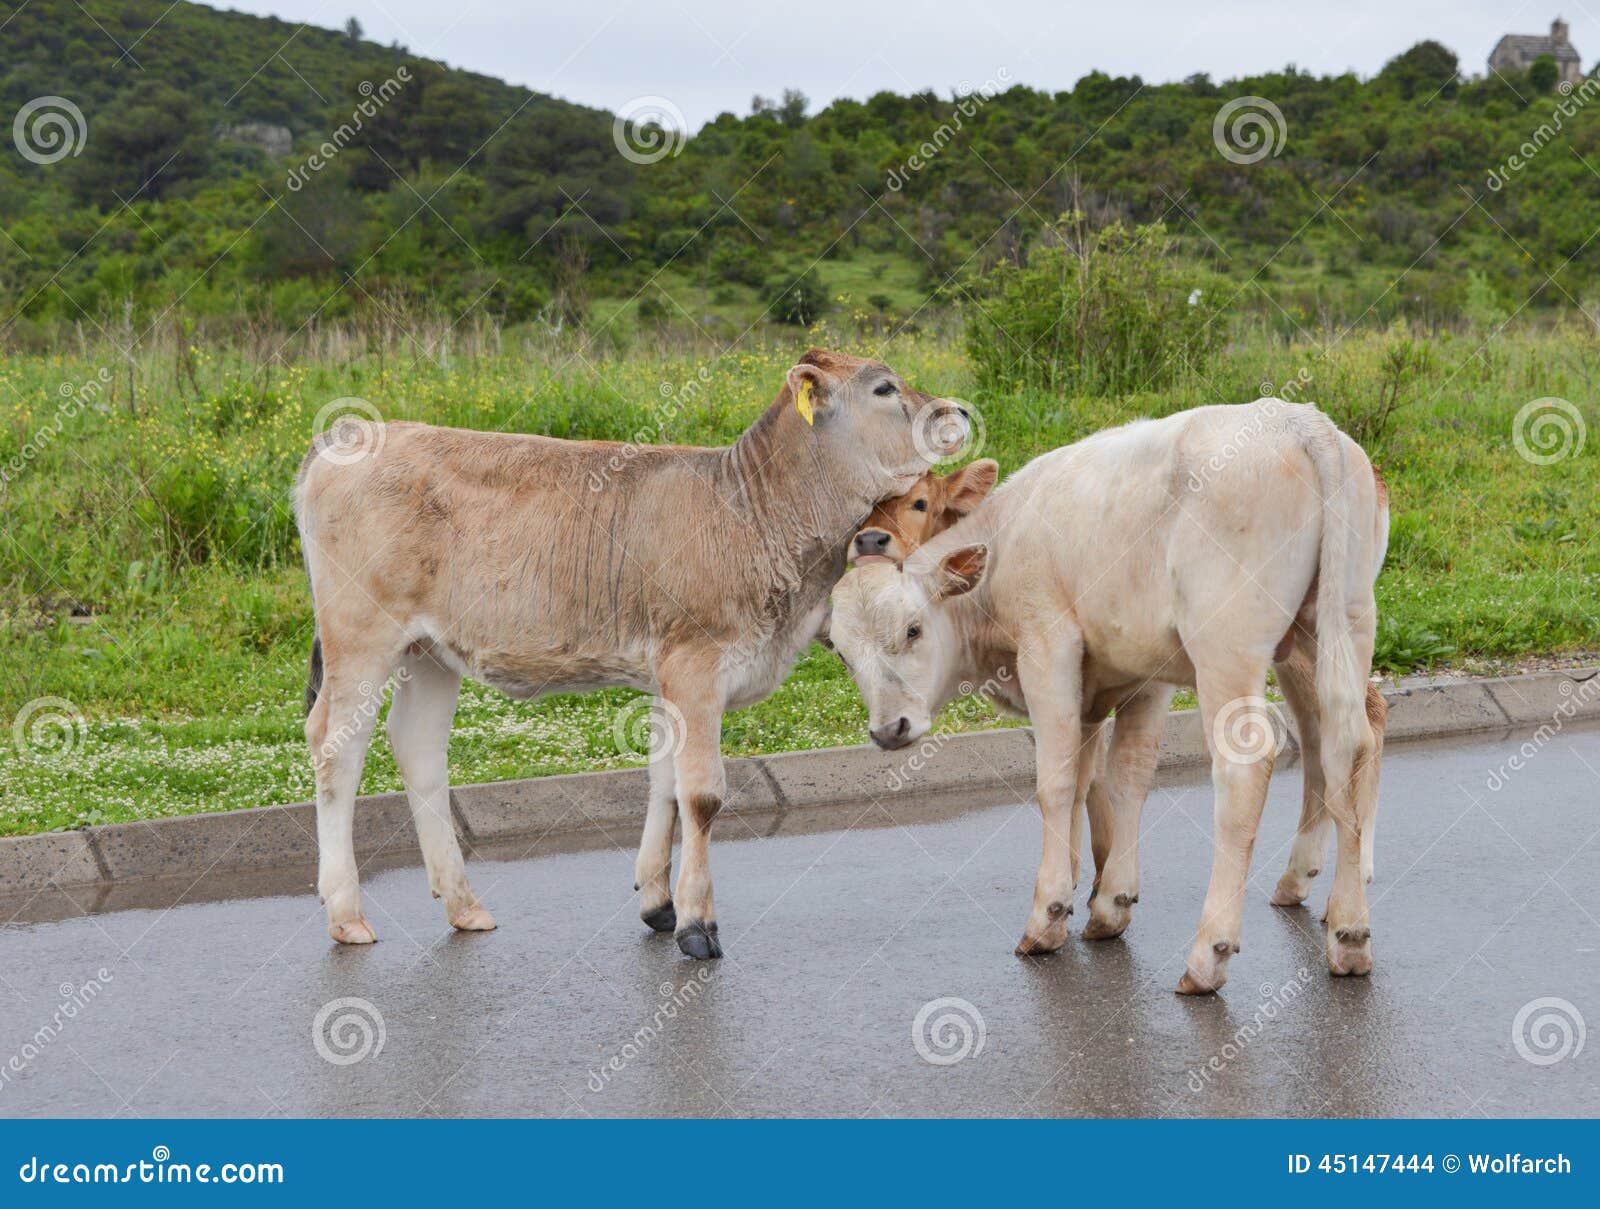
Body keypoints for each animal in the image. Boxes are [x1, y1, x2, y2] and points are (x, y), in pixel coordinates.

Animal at [295, 349, 969, 958]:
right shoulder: (696, 665)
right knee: (335, 746)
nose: (960, 409)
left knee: (418, 747)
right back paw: (346, 913)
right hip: (361, 633)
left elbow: (664, 784)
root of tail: (352, 432)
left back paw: (464, 905)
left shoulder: (669, 673)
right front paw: (699, 924)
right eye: (884, 388)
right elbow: (702, 794)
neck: (759, 516)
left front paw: (659, 903)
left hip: (429, 650)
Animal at [826, 401, 1387, 993]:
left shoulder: (1047, 649)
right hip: (1344, 624)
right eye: (842, 653)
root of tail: (1296, 419)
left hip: (1228, 650)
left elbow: (1056, 782)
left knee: (1248, 768)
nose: (888, 730)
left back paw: (1209, 954)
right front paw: (1108, 900)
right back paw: (1348, 930)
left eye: (913, 629)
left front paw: (1049, 913)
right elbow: (1118, 778)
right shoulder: (1134, 675)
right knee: (1344, 745)